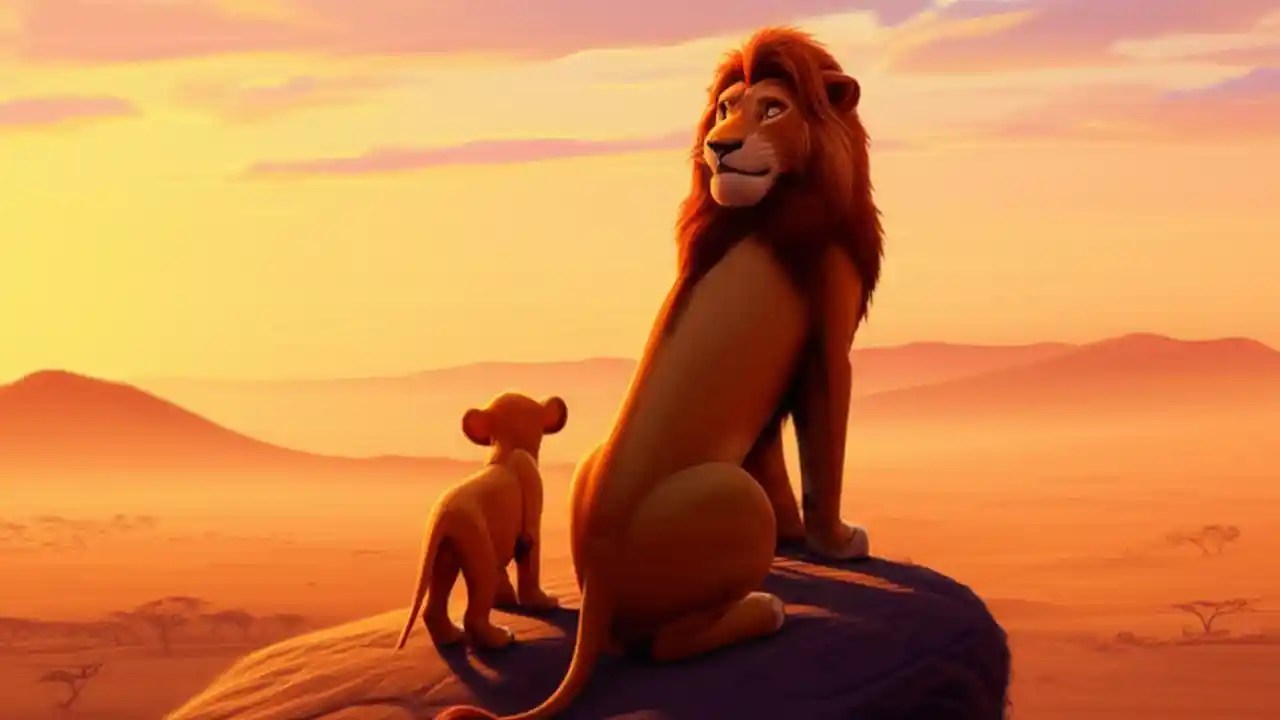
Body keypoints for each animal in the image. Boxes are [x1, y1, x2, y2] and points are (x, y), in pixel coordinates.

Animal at [394, 393, 566, 651]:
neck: (505, 449)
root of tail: (442, 516)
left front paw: (505, 599)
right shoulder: (530, 484)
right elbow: (529, 553)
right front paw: (544, 602)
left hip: (444, 548)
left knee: (440, 584)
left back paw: (451, 636)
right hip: (474, 536)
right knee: (480, 591)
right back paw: (501, 638)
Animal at [436, 26, 883, 719]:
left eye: (771, 109)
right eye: (725, 109)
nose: (719, 147)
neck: (778, 200)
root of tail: (596, 586)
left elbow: (774, 461)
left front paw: (794, 539)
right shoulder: (827, 347)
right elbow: (822, 462)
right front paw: (835, 542)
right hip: (732, 499)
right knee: (667, 644)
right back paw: (764, 606)